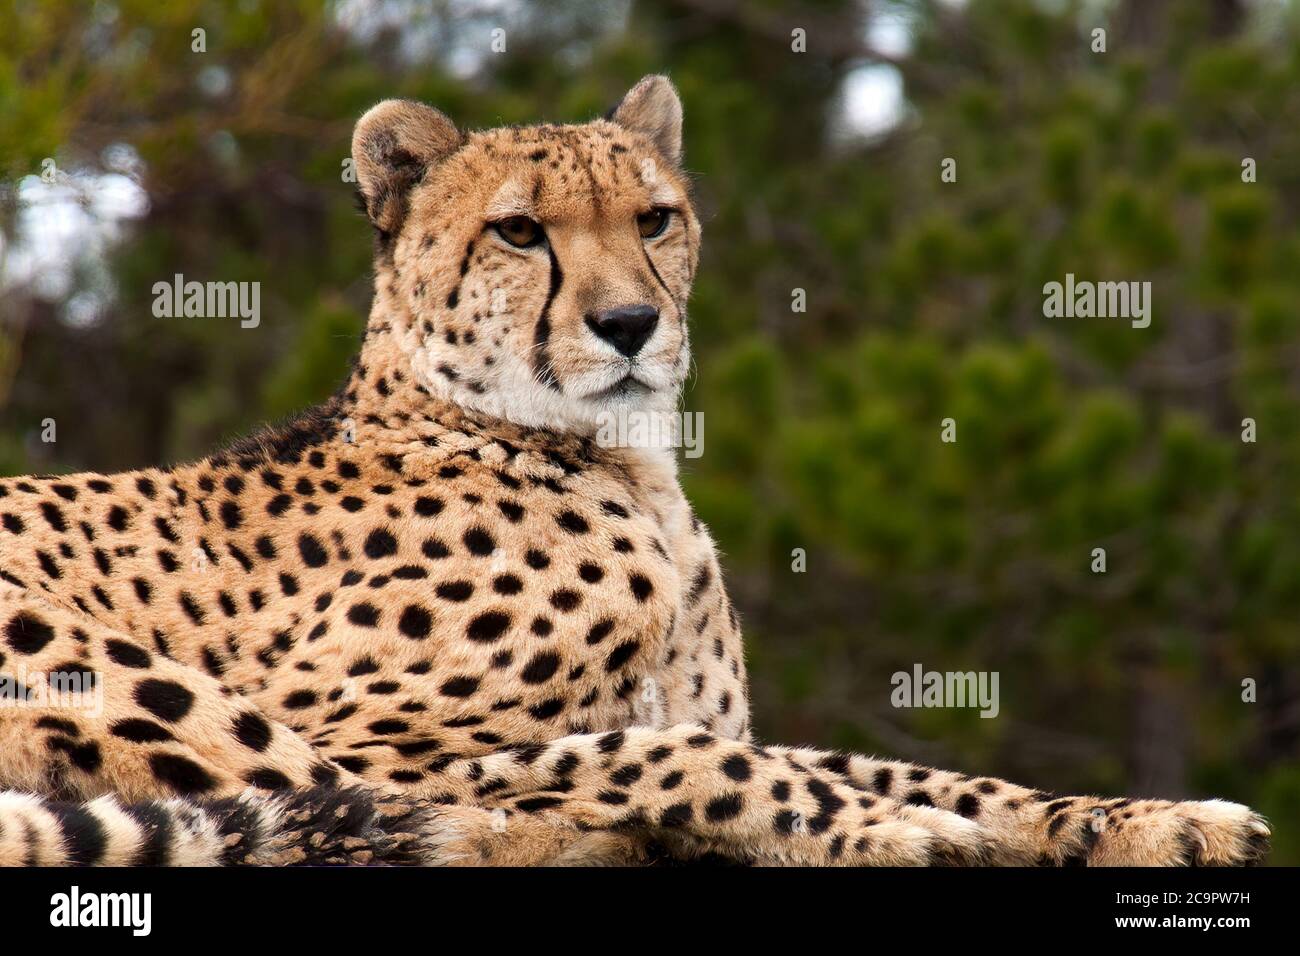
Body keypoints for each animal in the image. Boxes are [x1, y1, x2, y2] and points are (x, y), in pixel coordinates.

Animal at [0, 76, 1270, 866]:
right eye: (520, 232)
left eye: (655, 217)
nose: (626, 325)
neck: (620, 464)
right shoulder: (356, 728)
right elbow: (643, 751)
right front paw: (884, 827)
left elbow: (918, 767)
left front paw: (1141, 816)